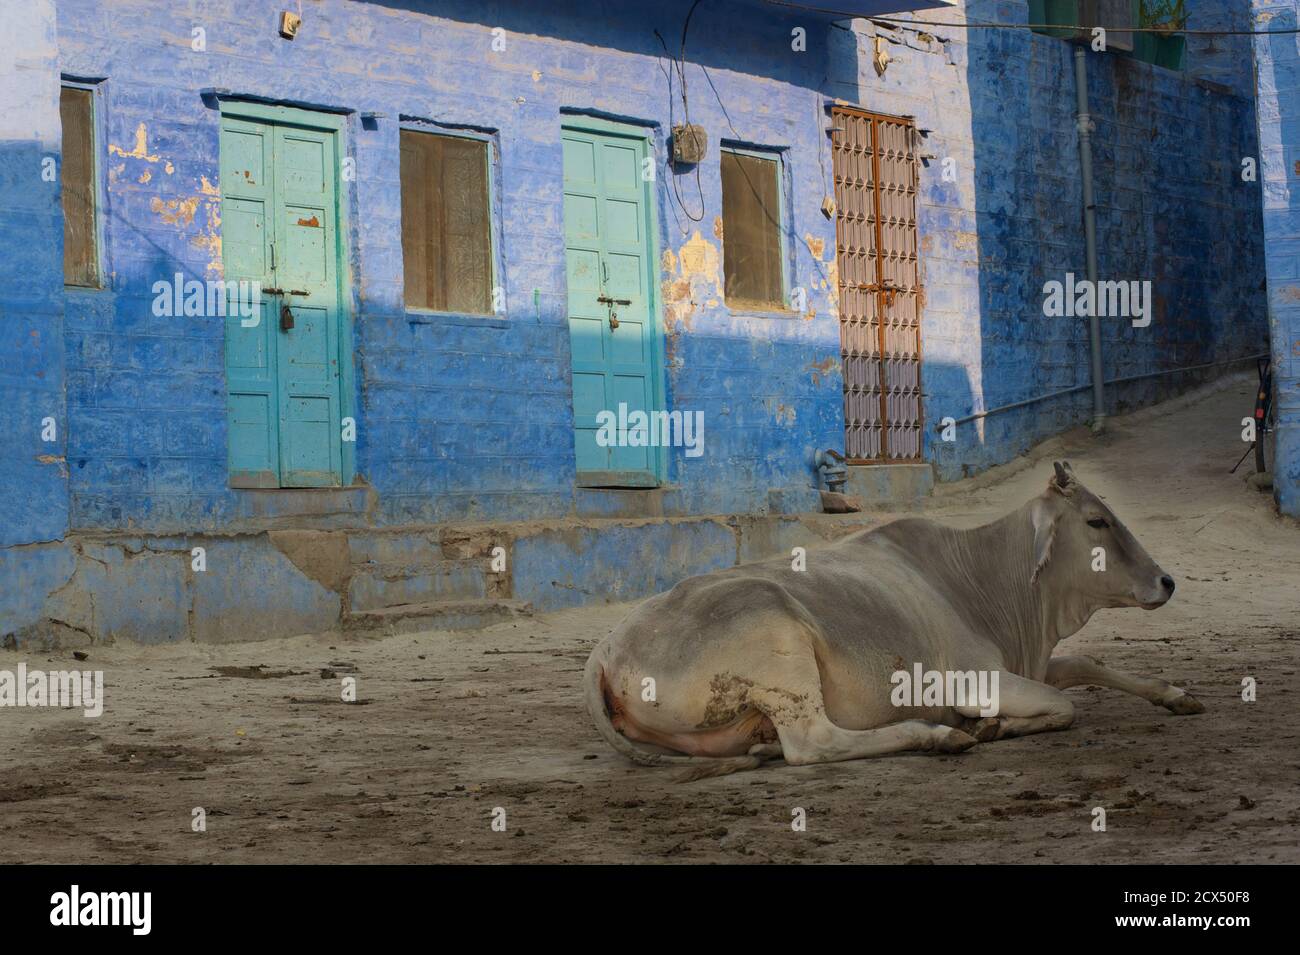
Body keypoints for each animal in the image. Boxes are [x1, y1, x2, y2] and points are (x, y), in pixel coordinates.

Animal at [583, 462, 1203, 779]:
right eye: (1097, 521)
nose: (1167, 581)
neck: (988, 581)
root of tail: (606, 648)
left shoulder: (1032, 662)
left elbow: (1089, 664)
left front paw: (1175, 694)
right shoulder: (970, 679)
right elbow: (1064, 705)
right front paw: (990, 726)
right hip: (779, 643)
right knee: (813, 744)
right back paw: (939, 736)